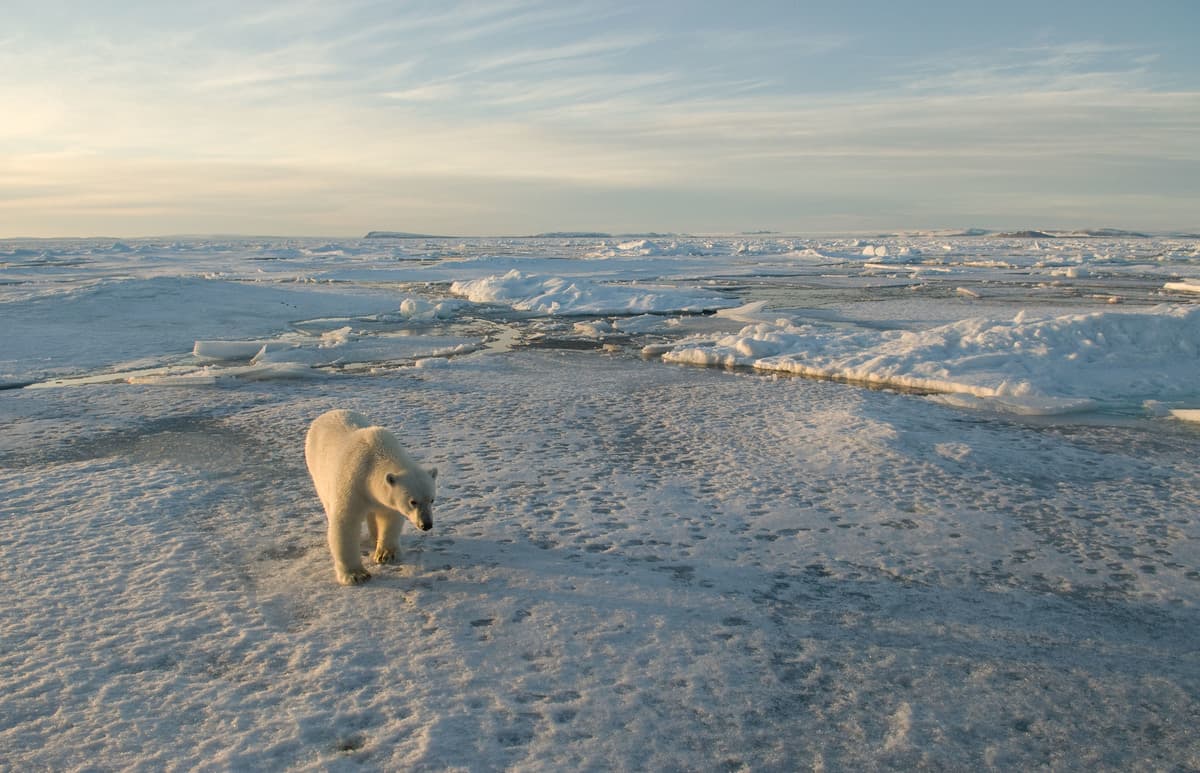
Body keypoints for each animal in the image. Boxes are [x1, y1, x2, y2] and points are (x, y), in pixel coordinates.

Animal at [304, 409, 438, 586]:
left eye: (431, 499)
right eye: (413, 502)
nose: (427, 524)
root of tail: (327, 413)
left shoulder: (385, 497)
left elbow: (390, 516)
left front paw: (386, 554)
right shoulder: (352, 484)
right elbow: (345, 523)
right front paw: (356, 575)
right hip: (318, 472)